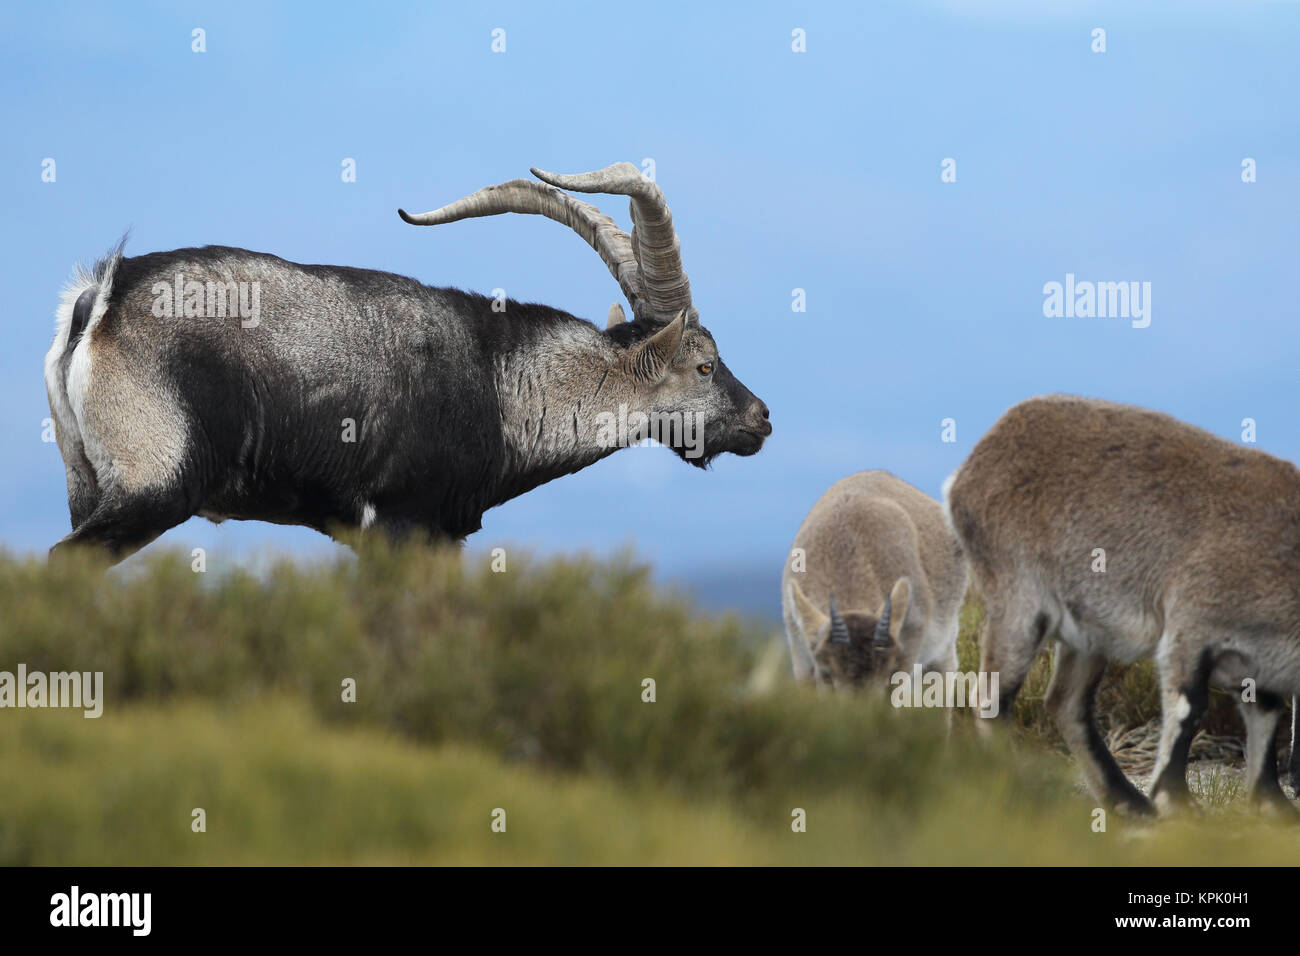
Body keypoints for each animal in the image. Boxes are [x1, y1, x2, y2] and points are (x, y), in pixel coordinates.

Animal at [43, 163, 771, 563]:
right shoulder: (401, 523)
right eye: (705, 366)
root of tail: (102, 297)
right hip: (154, 483)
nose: (761, 419)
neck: (501, 382)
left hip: (86, 484)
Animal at [945, 394, 1300, 815]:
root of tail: (969, 472)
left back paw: (1127, 801)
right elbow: (1190, 707)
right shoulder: (1191, 625)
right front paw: (1176, 801)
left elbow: (1267, 716)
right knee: (991, 700)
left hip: (1088, 632)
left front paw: (1274, 805)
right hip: (1019, 602)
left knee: (1066, 703)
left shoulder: (1258, 667)